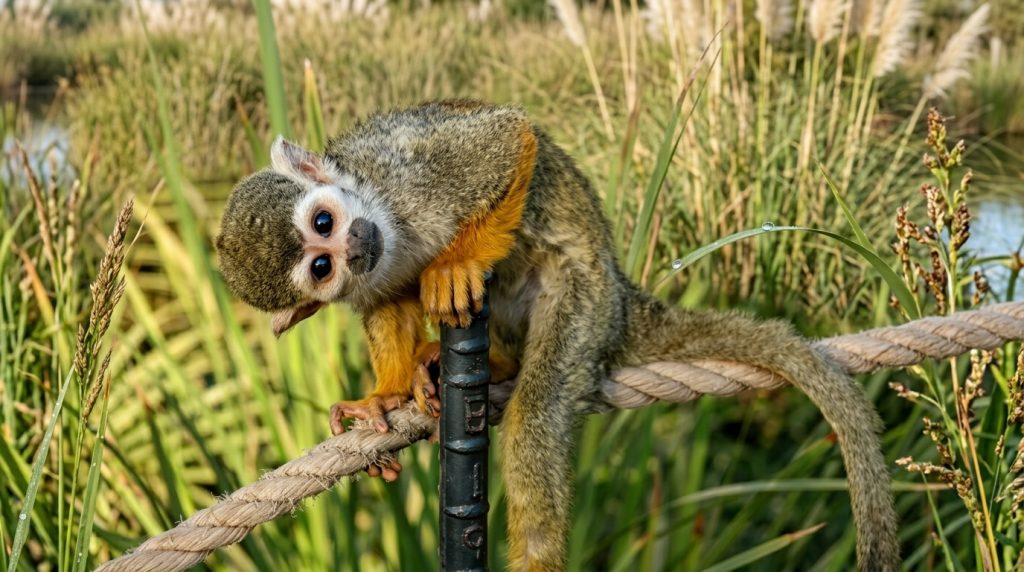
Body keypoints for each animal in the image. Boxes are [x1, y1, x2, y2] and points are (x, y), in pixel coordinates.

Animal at [215, 100, 899, 571]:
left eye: (324, 222)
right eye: (320, 267)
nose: (355, 247)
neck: (381, 216)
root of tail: (620, 296)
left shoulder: (404, 180)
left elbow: (507, 139)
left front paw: (458, 264)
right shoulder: (369, 272)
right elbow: (385, 302)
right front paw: (385, 393)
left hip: (584, 301)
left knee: (535, 417)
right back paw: (460, 367)